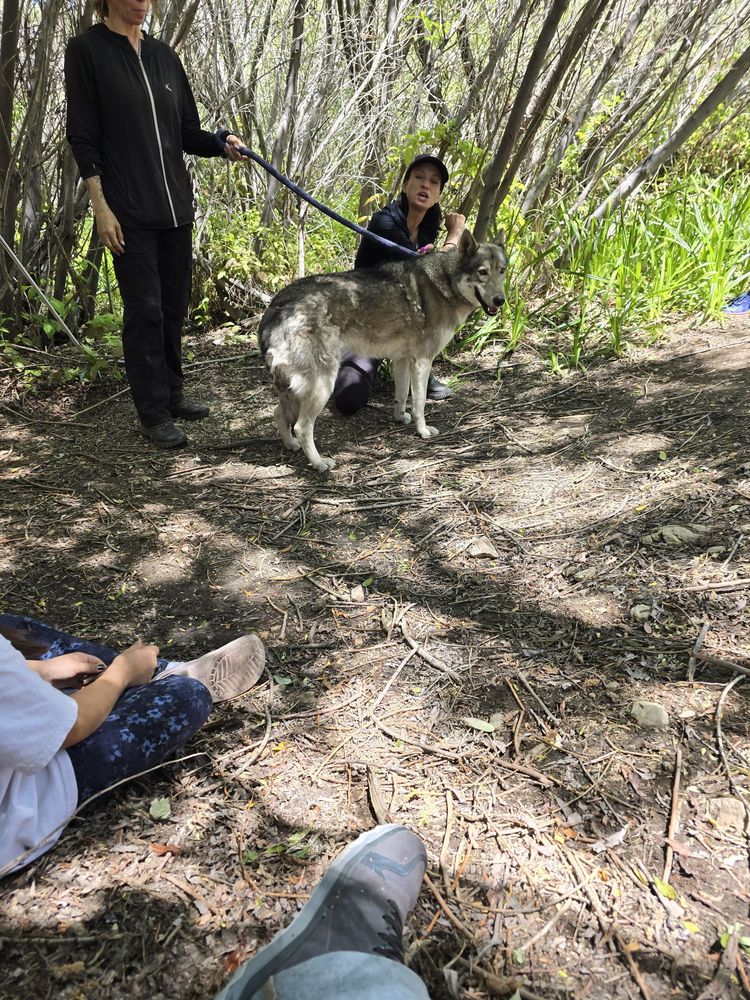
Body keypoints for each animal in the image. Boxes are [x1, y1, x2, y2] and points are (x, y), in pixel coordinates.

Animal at [259, 229, 507, 471]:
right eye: (483, 272)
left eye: (502, 271)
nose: (500, 300)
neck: (446, 282)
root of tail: (274, 308)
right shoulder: (422, 361)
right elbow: (419, 402)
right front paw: (423, 431)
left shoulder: (403, 360)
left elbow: (402, 395)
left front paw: (400, 417)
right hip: (323, 384)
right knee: (302, 427)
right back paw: (319, 463)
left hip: (295, 389)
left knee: (278, 414)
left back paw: (291, 445)